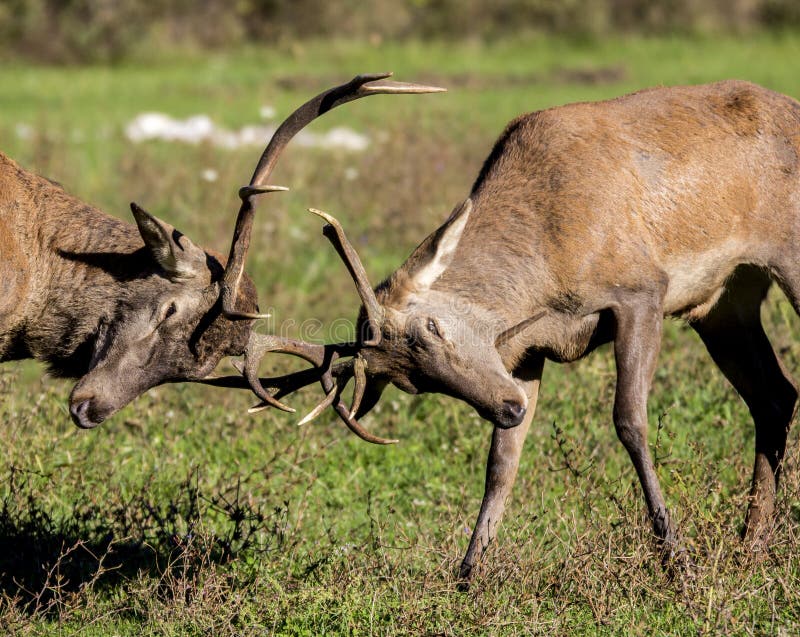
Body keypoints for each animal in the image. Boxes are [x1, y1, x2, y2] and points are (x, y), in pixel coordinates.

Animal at [246, 80, 800, 583]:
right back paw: (751, 548)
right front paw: (468, 577)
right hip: (724, 303)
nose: (507, 406)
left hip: (783, 263)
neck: (546, 270)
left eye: (433, 326)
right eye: (411, 382)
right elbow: (502, 462)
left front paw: (678, 564)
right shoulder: (527, 352)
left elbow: (630, 421)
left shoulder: (641, 289)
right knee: (775, 395)